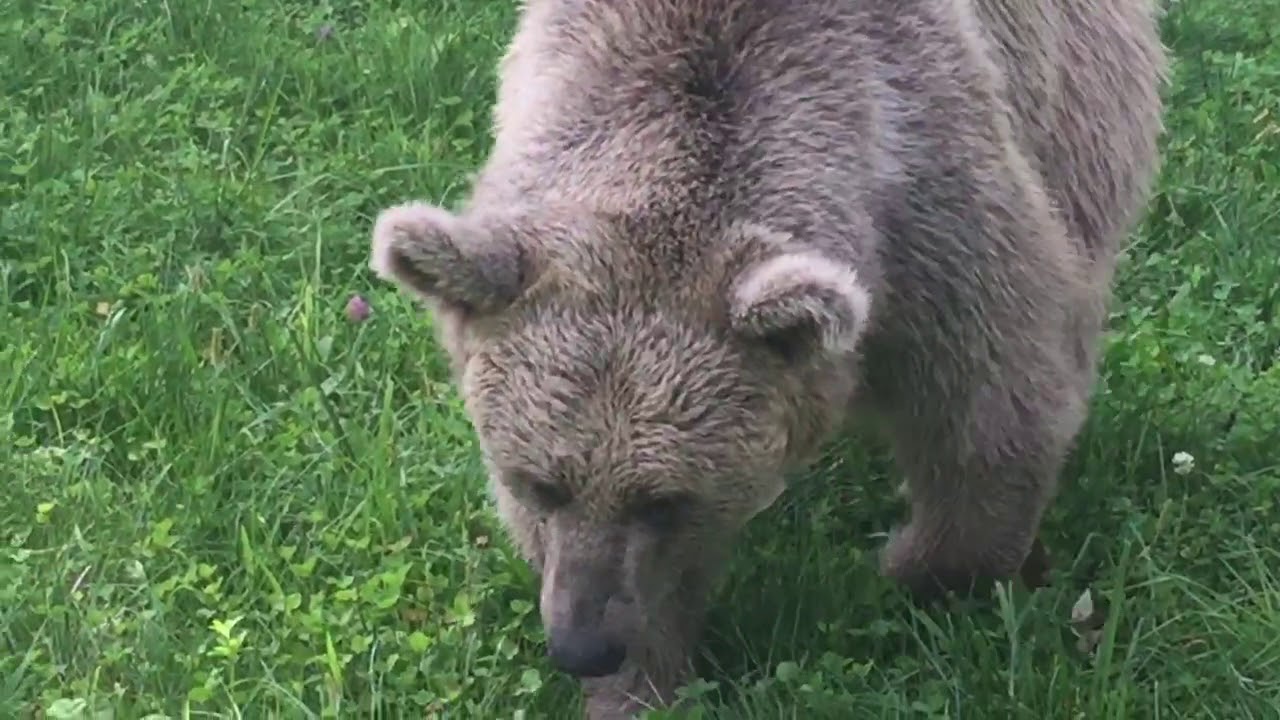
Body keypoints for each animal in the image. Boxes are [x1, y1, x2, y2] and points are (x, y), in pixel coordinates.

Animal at [368, 0, 1167, 717]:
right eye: (540, 484)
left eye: (664, 499)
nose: (582, 646)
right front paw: (640, 684)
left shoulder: (932, 211)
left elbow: (991, 402)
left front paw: (918, 565)